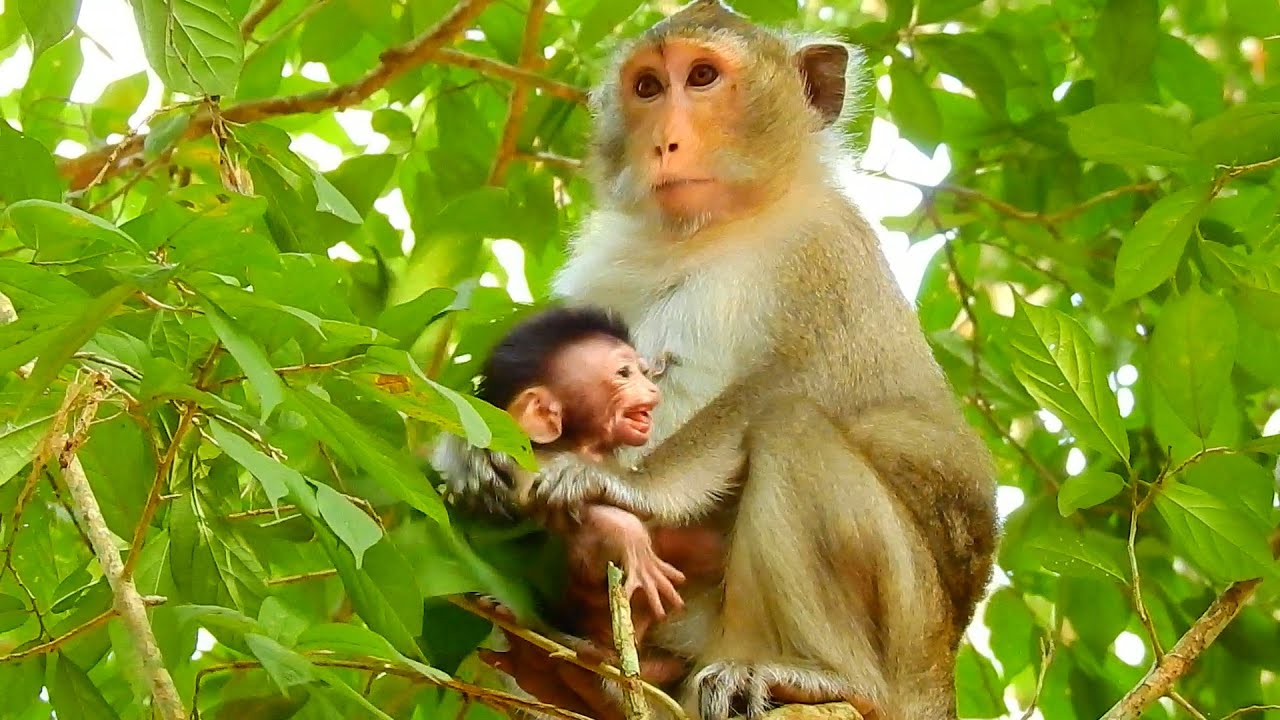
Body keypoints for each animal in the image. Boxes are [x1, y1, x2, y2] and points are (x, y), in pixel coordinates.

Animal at [435, 2, 1000, 719]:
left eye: (702, 77)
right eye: (648, 87)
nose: (664, 142)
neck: (713, 230)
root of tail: (939, 678)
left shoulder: (825, 255)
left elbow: (791, 386)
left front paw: (628, 485)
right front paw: (468, 450)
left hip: (906, 626)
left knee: (791, 426)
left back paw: (830, 679)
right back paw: (588, 682)